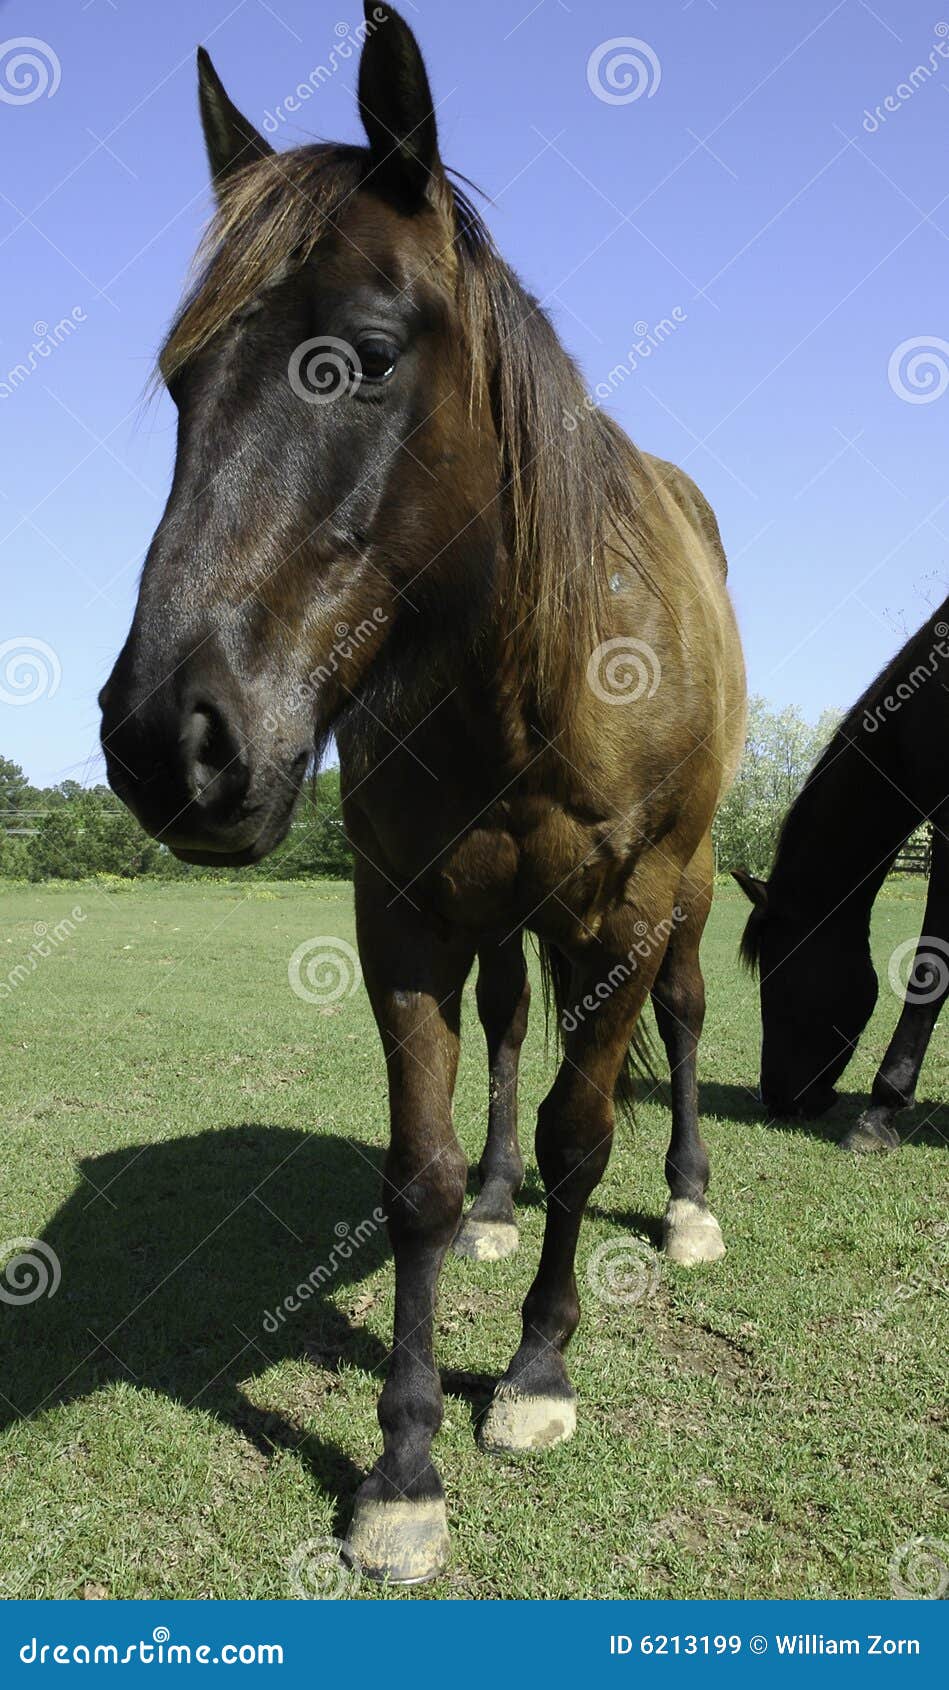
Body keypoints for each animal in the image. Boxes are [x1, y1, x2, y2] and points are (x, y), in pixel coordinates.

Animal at [99, 4, 746, 1583]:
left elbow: (586, 1134)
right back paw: (506, 1212)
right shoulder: (401, 914)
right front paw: (402, 1465)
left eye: (365, 358)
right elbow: (420, 1176)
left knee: (683, 1019)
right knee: (510, 1035)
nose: (166, 742)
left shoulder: (624, 911)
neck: (536, 659)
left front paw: (532, 1375)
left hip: (686, 890)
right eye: (181, 382)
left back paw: (687, 1204)